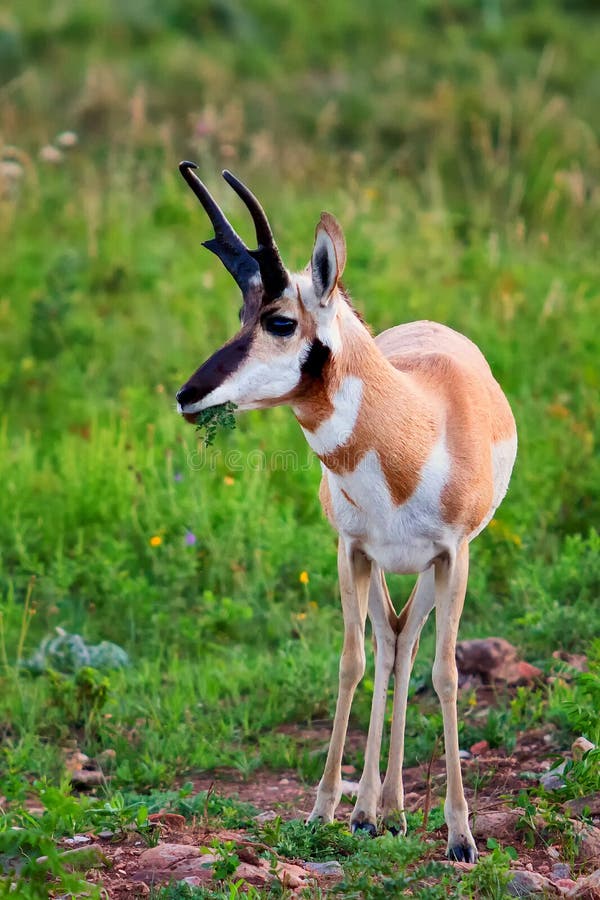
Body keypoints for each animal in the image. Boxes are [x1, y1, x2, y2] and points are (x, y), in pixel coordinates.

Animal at [176, 162, 517, 861]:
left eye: (281, 321)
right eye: (243, 311)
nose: (187, 394)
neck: (415, 431)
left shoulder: (455, 556)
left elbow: (447, 674)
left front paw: (462, 837)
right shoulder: (351, 551)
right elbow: (350, 662)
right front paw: (324, 811)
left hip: (430, 571)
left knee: (409, 645)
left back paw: (397, 812)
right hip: (387, 567)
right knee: (391, 642)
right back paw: (377, 811)